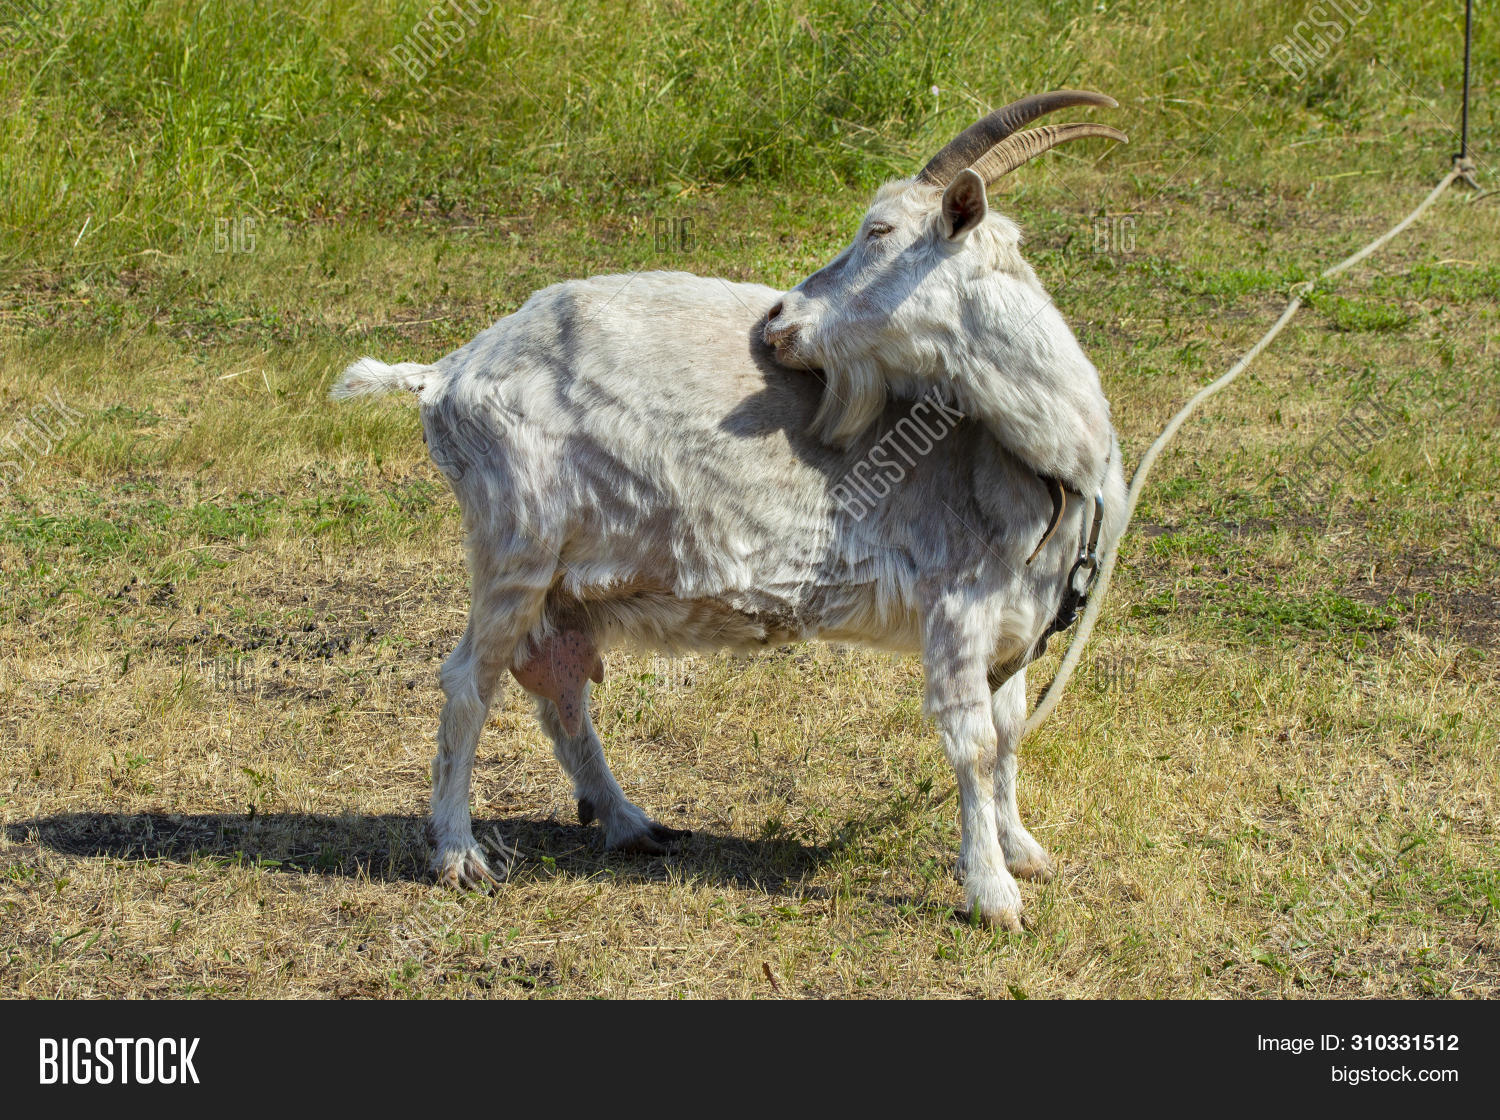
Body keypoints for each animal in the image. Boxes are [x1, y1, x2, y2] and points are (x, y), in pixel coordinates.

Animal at [332, 91, 1129, 929]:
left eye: (879, 232)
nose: (776, 318)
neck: (1047, 462)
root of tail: (445, 371)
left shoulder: (1017, 621)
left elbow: (1009, 735)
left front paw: (1023, 850)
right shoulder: (955, 605)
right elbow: (971, 742)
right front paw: (993, 894)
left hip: (559, 580)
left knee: (558, 691)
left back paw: (630, 823)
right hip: (514, 543)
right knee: (468, 683)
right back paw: (459, 855)